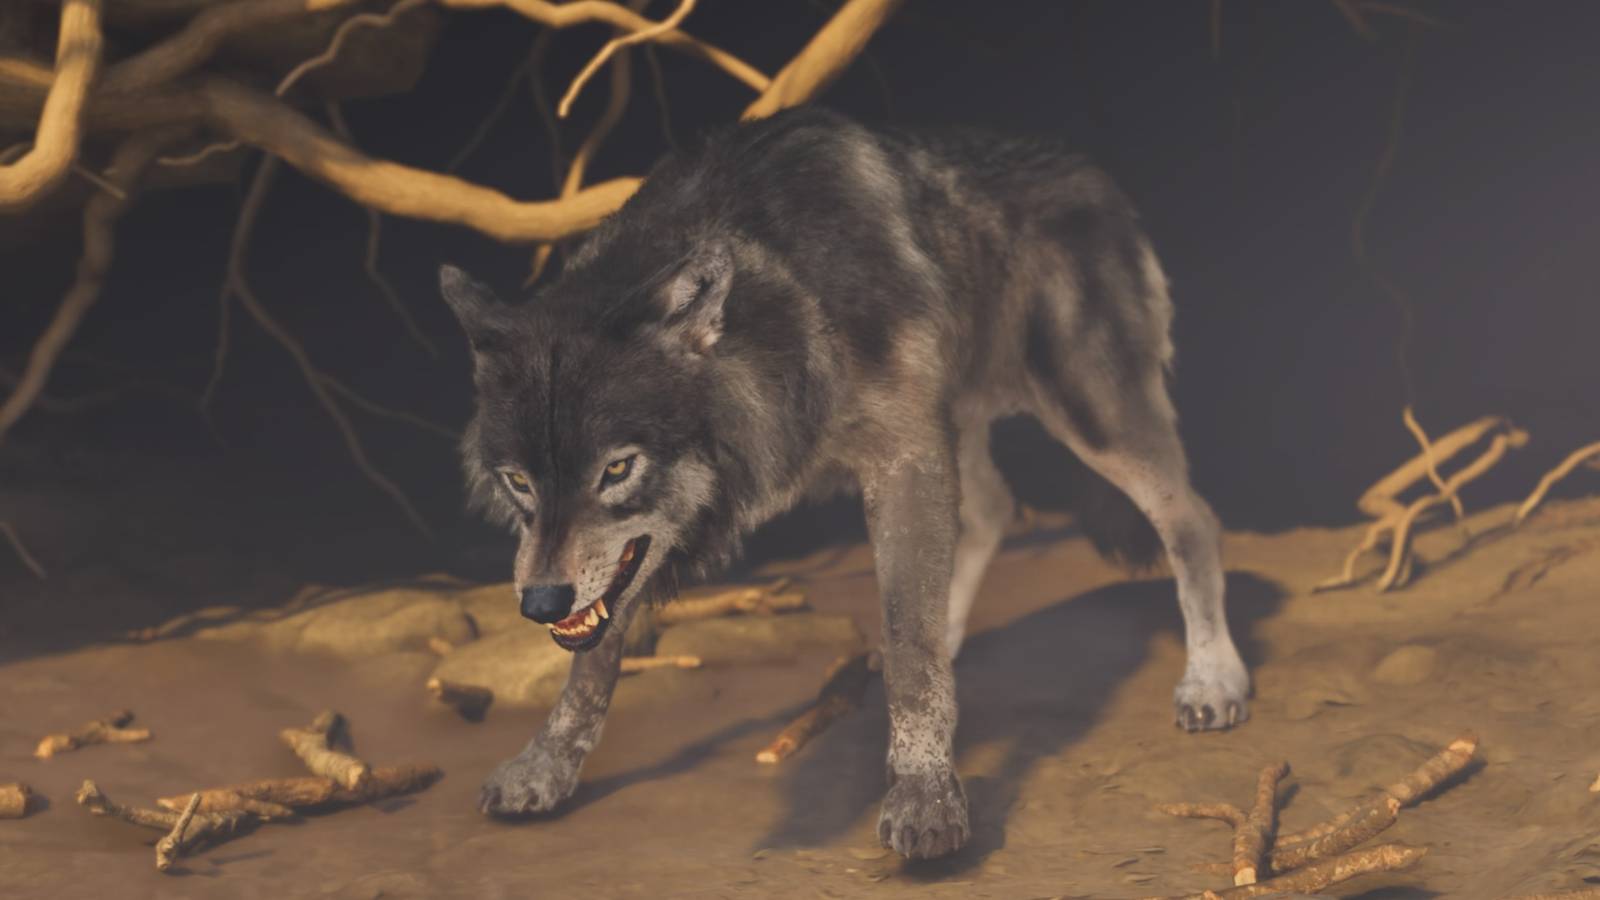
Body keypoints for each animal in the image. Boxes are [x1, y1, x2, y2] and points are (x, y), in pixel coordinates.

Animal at [438, 106, 1250, 860]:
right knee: (993, 510)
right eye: (518, 481)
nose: (540, 605)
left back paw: (1214, 679)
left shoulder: (903, 455)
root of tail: (1097, 176)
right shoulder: (628, 555)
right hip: (962, 421)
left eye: (616, 468)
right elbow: (593, 660)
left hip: (1089, 416)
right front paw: (545, 767)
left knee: (1192, 518)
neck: (787, 315)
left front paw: (925, 795)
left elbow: (908, 638)